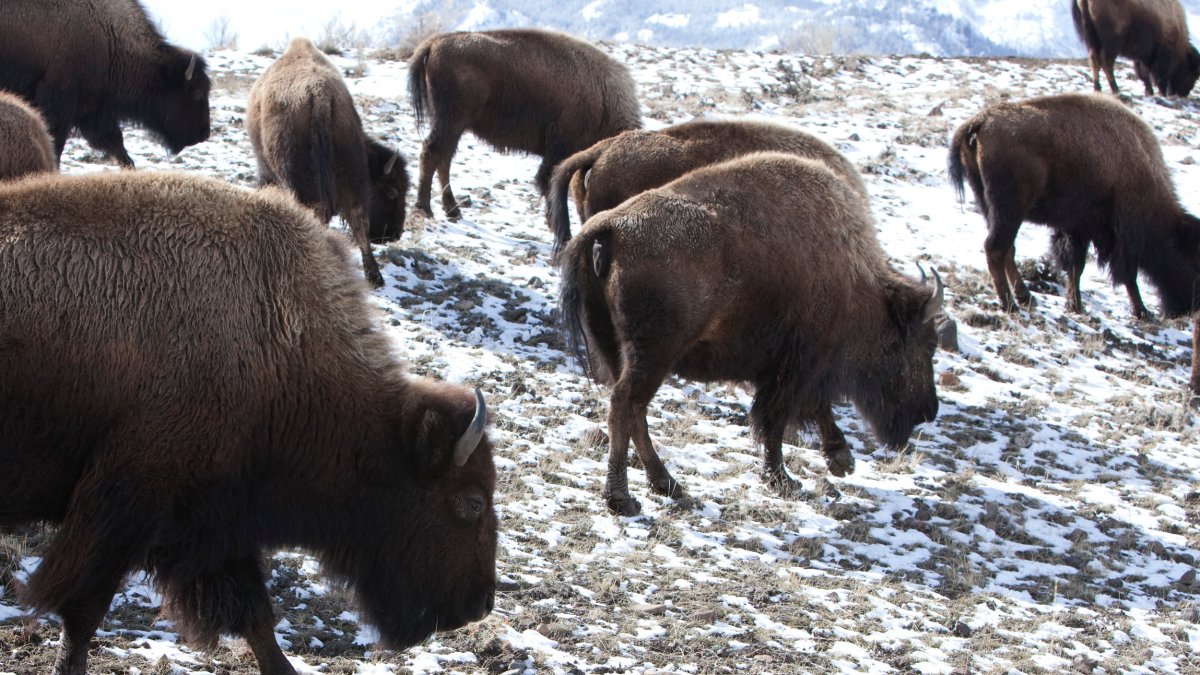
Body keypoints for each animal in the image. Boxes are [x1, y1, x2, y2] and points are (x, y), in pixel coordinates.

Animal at [0, 0, 211, 167]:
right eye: (196, 93)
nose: (204, 134)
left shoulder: (94, 110)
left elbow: (117, 145)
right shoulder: (59, 105)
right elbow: (57, 144)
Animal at [0, 171, 496, 675]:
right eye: (473, 502)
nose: (480, 605)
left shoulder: (213, 518)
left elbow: (255, 616)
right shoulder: (124, 509)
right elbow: (83, 613)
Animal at [247, 37, 409, 288]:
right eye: (392, 191)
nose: (396, 234)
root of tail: (319, 94)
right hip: (351, 173)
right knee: (358, 219)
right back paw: (374, 277)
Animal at [408, 28, 641, 220]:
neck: (604, 99)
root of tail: (436, 42)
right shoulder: (559, 151)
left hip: (454, 126)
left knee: (443, 158)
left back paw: (452, 210)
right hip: (451, 121)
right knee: (433, 153)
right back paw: (425, 208)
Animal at [560, 152, 943, 516]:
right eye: (924, 345)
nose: (928, 410)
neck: (858, 283)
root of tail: (612, 225)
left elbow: (811, 410)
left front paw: (839, 461)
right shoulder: (797, 367)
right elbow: (777, 422)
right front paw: (785, 479)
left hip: (620, 350)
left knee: (634, 412)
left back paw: (667, 484)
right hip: (653, 355)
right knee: (625, 406)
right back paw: (622, 499)